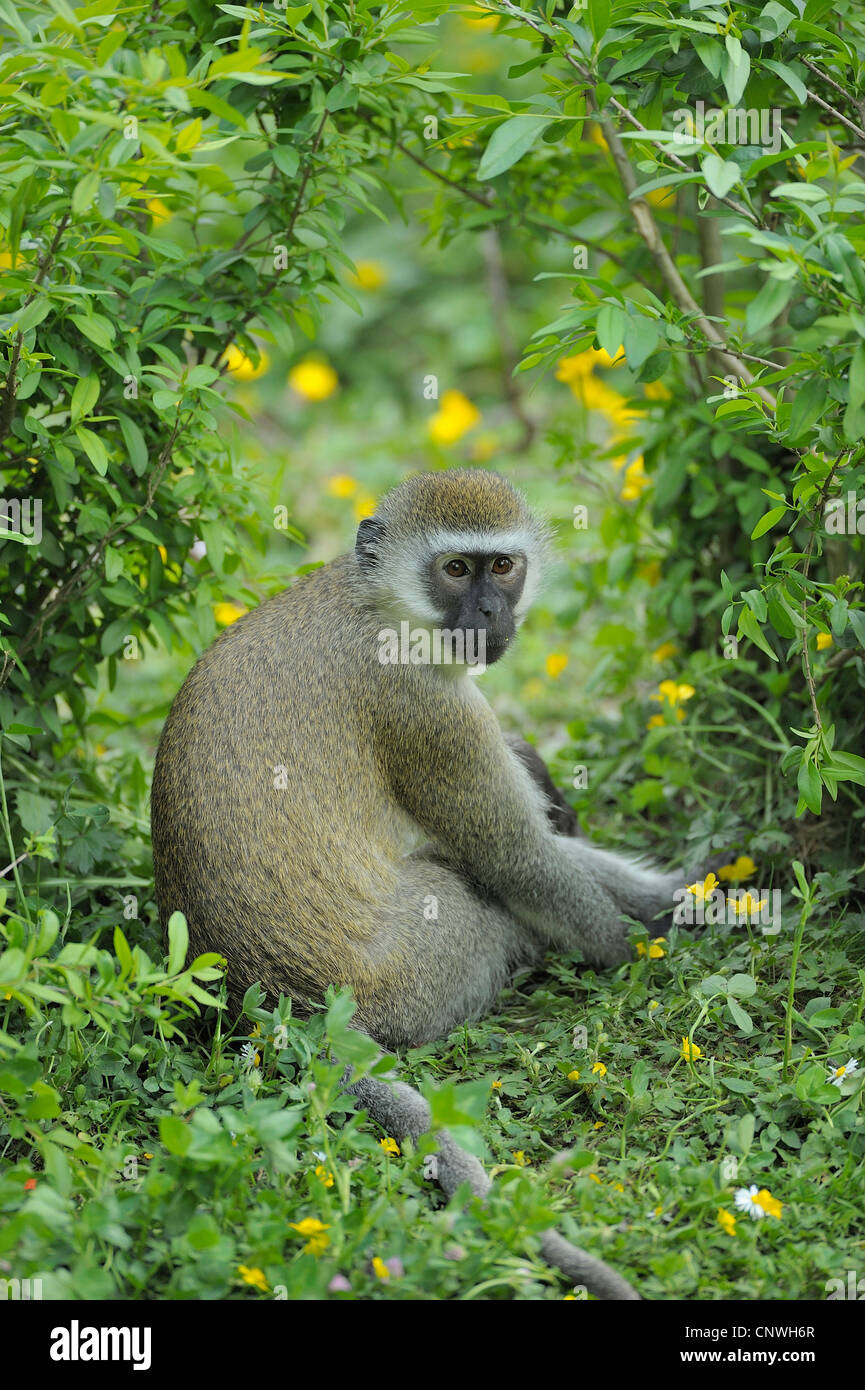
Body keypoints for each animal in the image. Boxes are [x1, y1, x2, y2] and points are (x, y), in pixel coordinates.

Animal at [151, 468, 690, 1300]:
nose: (492, 612)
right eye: (456, 570)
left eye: (501, 566)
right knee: (472, 884)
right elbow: (515, 856)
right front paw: (638, 946)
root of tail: (278, 1003)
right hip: (425, 967)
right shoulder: (419, 701)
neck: (376, 601)